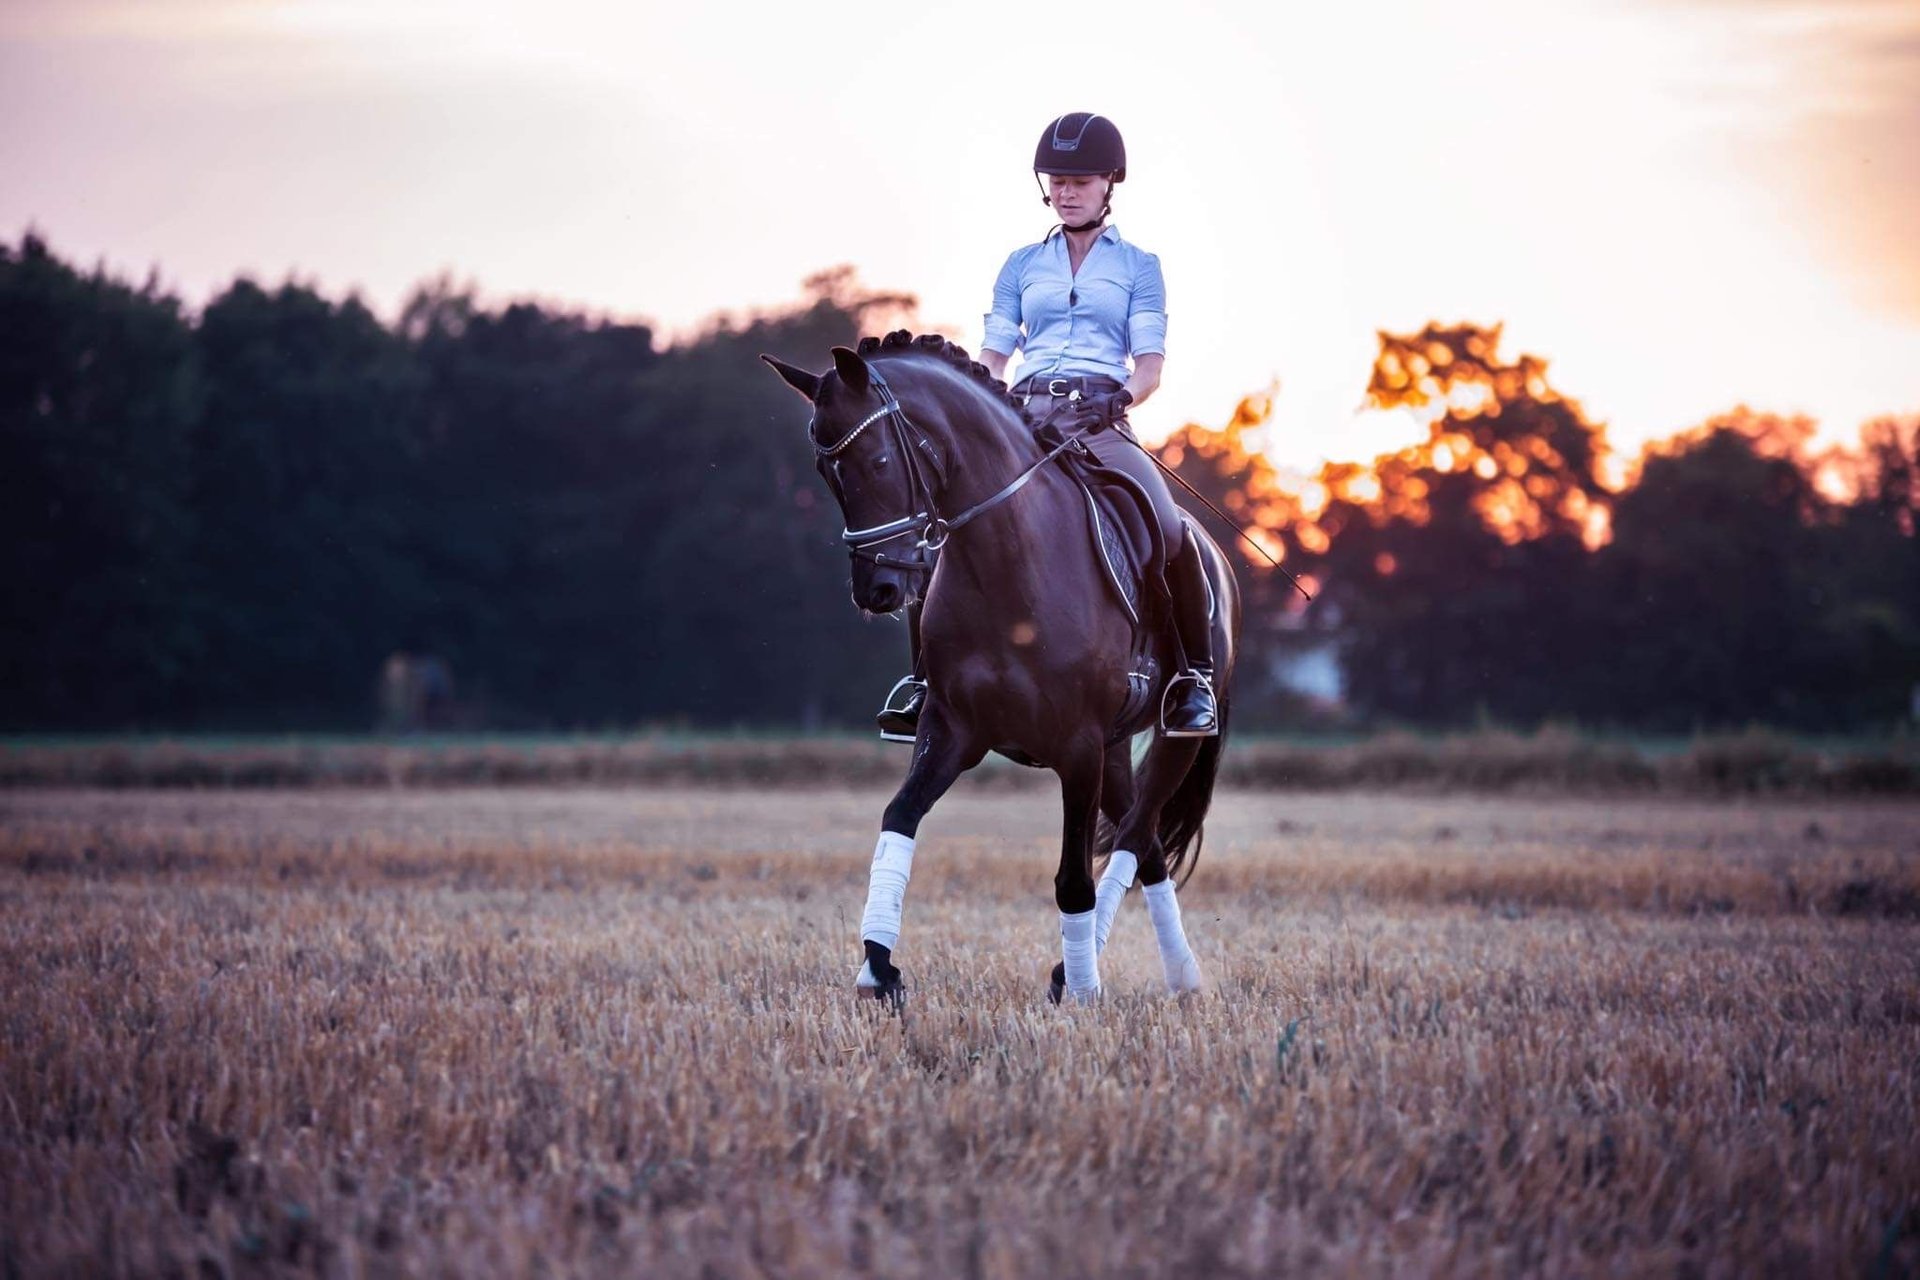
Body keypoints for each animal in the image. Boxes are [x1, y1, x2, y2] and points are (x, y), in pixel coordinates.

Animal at [762, 332, 1240, 1005]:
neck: (1007, 562)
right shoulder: (952, 728)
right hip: (1116, 748)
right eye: (825, 473)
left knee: (1134, 832)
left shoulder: (1077, 745)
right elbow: (898, 818)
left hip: (1173, 740)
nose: (877, 589)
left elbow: (1072, 879)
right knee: (1143, 843)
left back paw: (1127, 974)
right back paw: (1175, 976)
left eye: (878, 462)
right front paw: (878, 971)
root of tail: (1215, 554)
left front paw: (1083, 996)